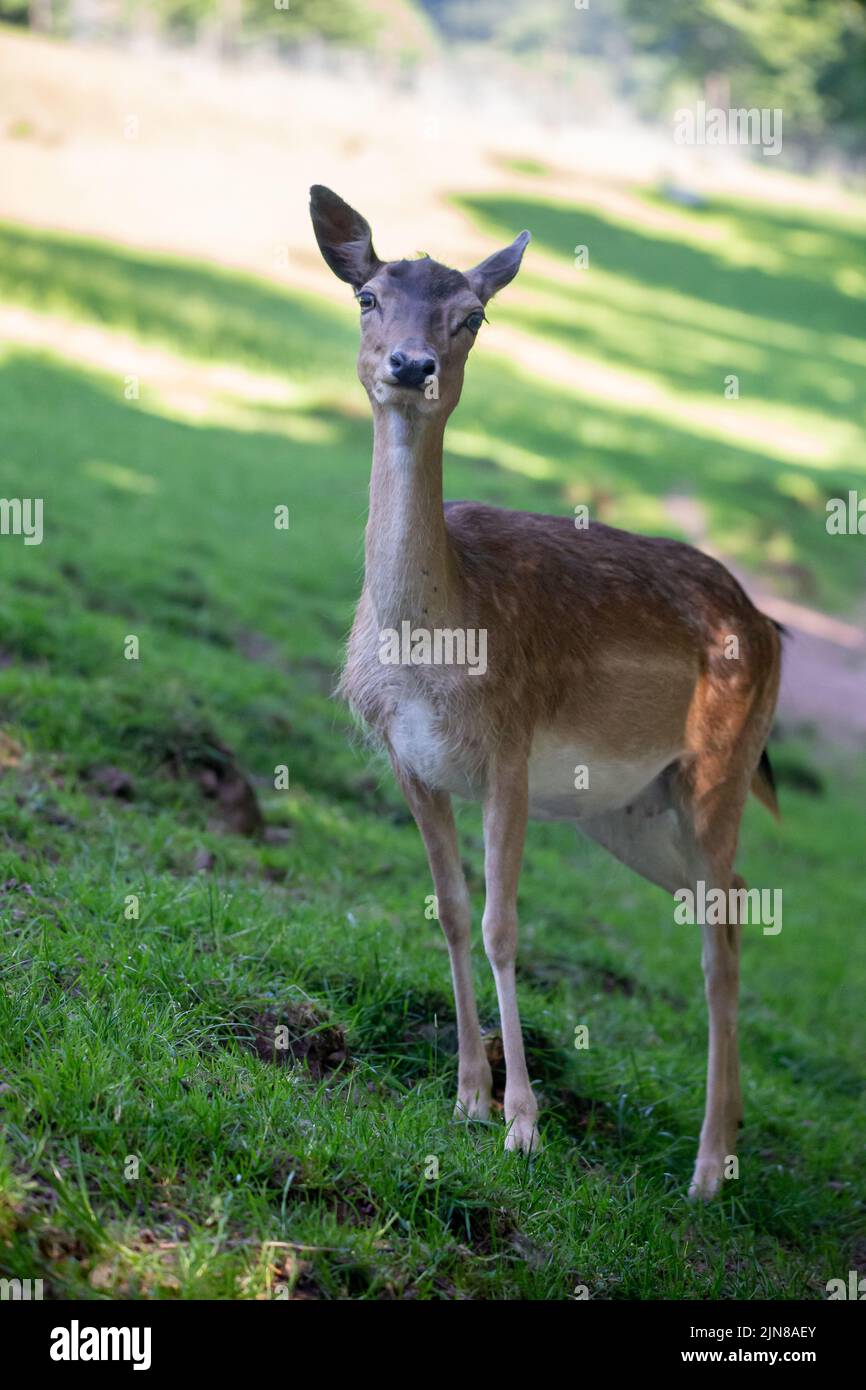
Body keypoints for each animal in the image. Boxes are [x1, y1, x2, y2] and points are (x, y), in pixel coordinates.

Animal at [308, 184, 783, 1200]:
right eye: (367, 296)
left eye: (472, 316)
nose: (412, 364)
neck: (432, 649)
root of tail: (768, 625)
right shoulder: (410, 761)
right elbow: (450, 913)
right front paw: (466, 1096)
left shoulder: (512, 752)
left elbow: (502, 925)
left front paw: (523, 1122)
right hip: (630, 814)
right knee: (730, 904)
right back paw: (725, 1139)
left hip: (718, 766)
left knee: (719, 933)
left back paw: (707, 1170)